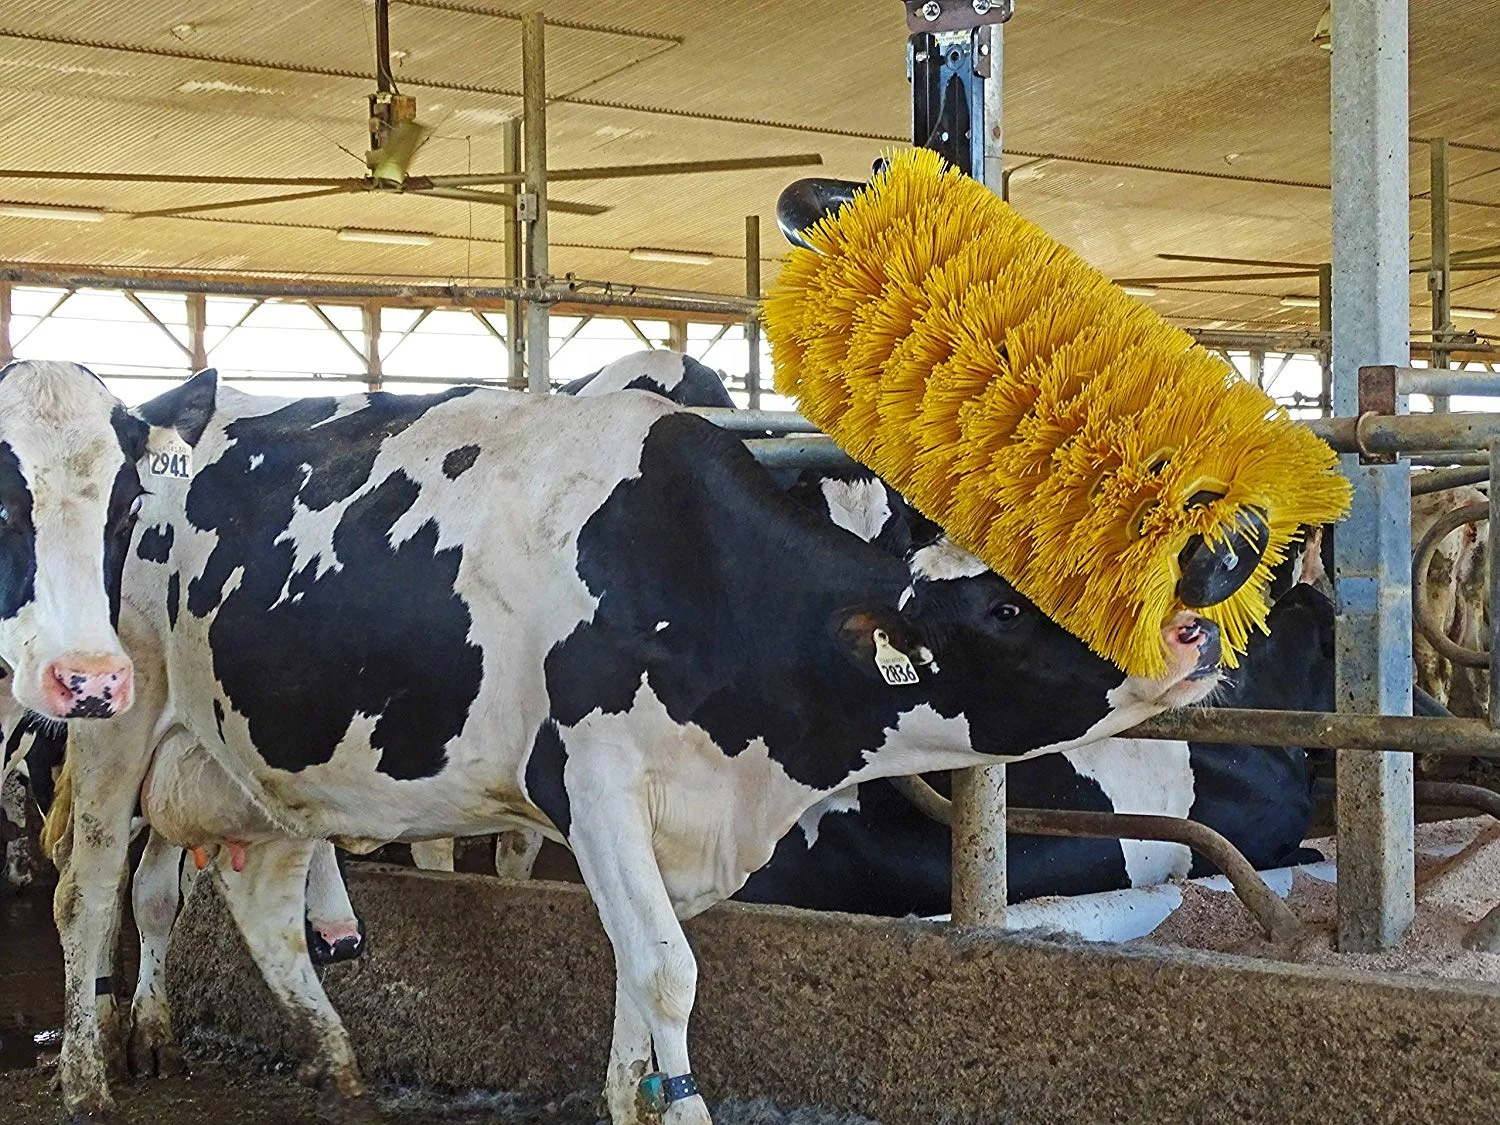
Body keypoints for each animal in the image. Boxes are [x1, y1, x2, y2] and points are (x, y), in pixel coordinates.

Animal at [0, 359, 1221, 1123]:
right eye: (1010, 607)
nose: (1195, 626)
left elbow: (642, 976)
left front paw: (627, 1099)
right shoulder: (593, 789)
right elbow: (670, 974)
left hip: (273, 755)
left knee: (259, 903)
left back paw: (335, 1060)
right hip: (114, 719)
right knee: (91, 889)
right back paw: (90, 1079)